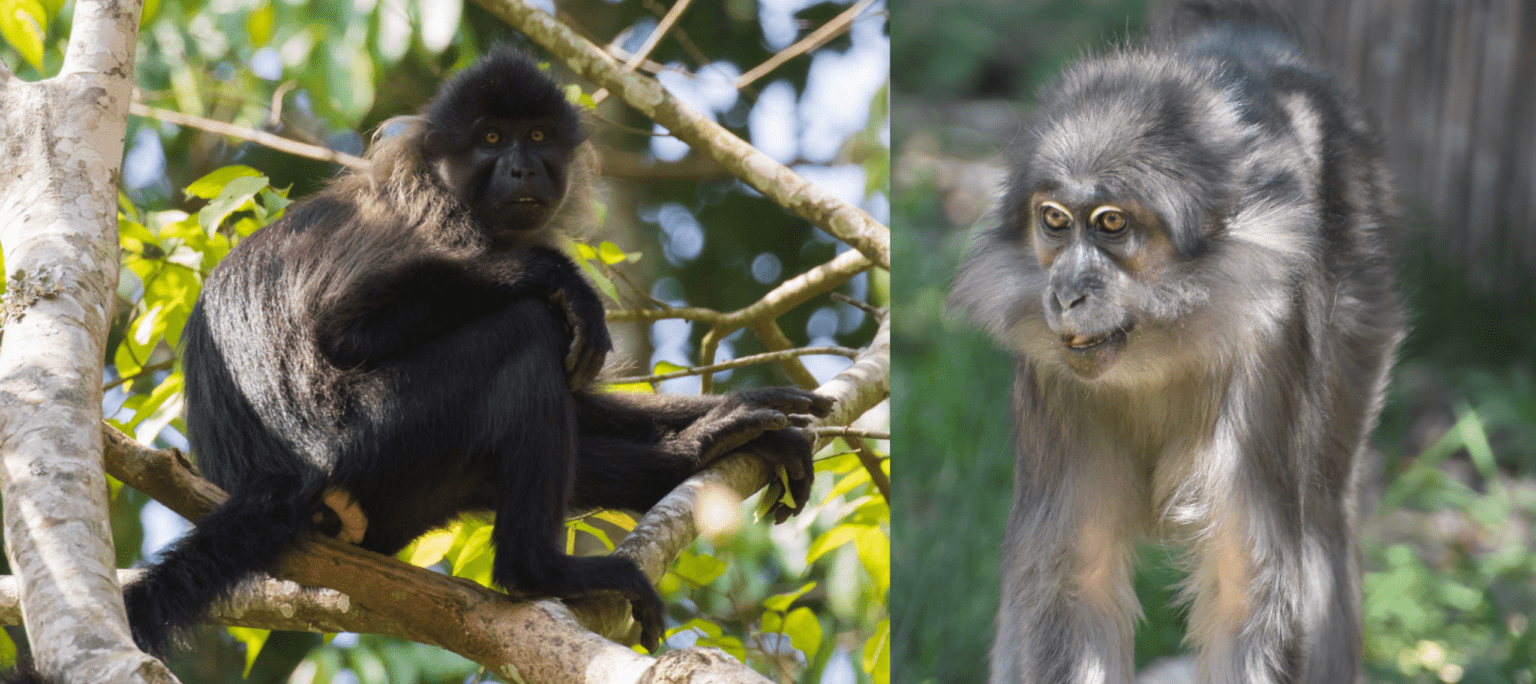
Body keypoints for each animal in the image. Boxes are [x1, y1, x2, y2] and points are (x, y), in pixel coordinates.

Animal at [124, 46, 833, 656]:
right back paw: (537, 572)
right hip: (365, 437)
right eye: (492, 140)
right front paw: (559, 276)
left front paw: (735, 416)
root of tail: (266, 479)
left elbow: (580, 395)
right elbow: (346, 331)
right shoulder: (426, 221)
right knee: (523, 331)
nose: (522, 168)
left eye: (538, 138)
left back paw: (702, 451)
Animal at [948, 4, 1404, 682]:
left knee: (1323, 515)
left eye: (1111, 223)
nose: (1066, 293)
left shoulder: (1267, 346)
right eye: (1054, 220)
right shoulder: (1054, 371)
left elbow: (1250, 589)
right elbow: (1071, 580)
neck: (1158, 347)